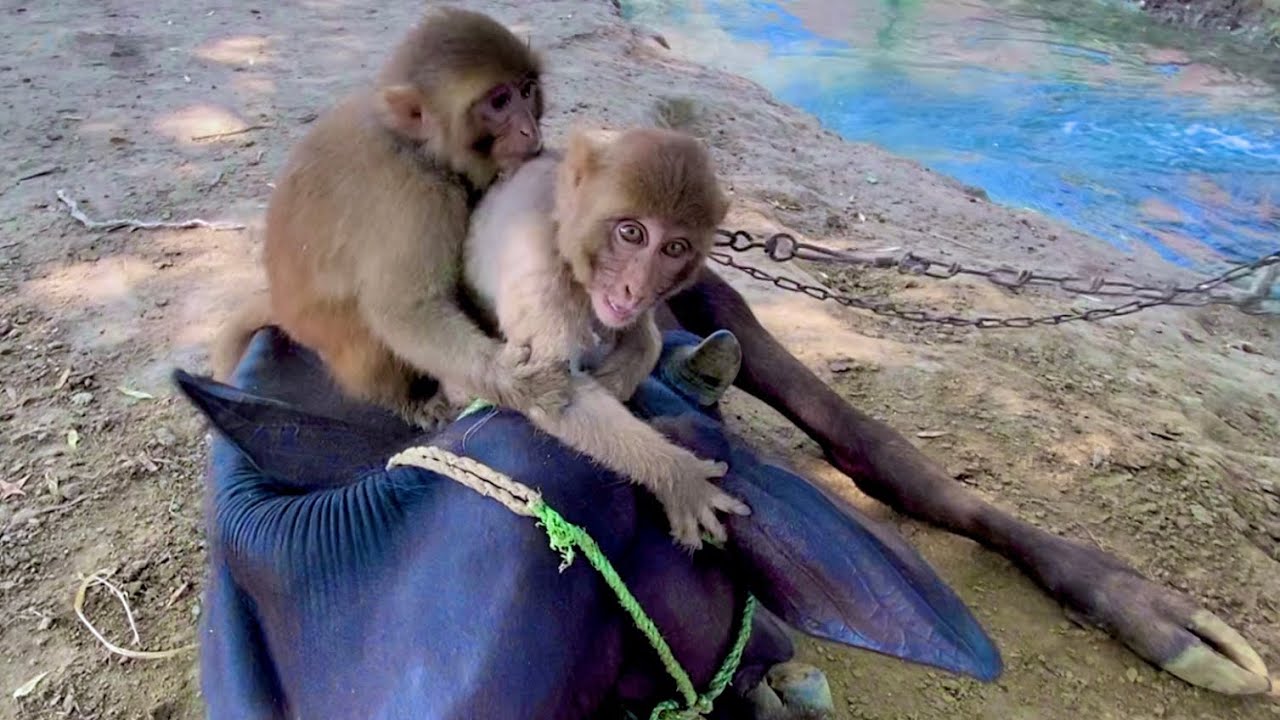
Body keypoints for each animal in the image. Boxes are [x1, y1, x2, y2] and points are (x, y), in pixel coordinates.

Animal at [210, 6, 571, 428]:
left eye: (527, 91)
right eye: (499, 102)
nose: (530, 129)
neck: (417, 147)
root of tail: (282, 308)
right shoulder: (415, 200)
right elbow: (404, 312)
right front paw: (519, 383)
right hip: (332, 338)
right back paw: (406, 400)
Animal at [460, 126, 751, 550]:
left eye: (674, 248)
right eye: (631, 233)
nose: (637, 288)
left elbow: (645, 339)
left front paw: (616, 377)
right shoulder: (536, 260)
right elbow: (555, 393)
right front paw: (678, 477)